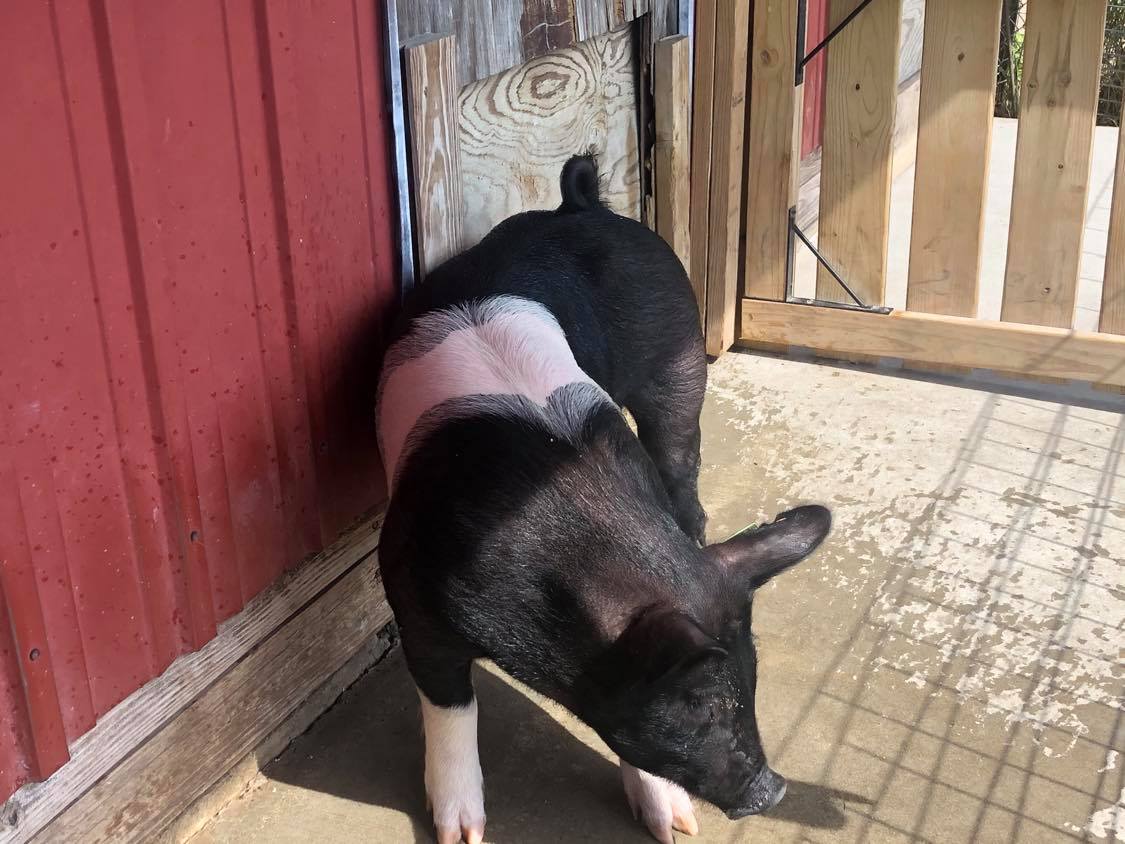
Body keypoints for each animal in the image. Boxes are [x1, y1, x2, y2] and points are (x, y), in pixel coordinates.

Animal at [375, 155, 831, 844]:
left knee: (684, 470)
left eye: (752, 686)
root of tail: (581, 208)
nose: (773, 791)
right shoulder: (410, 597)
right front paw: (463, 833)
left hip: (680, 365)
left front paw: (674, 827)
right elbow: (451, 709)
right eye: (700, 706)